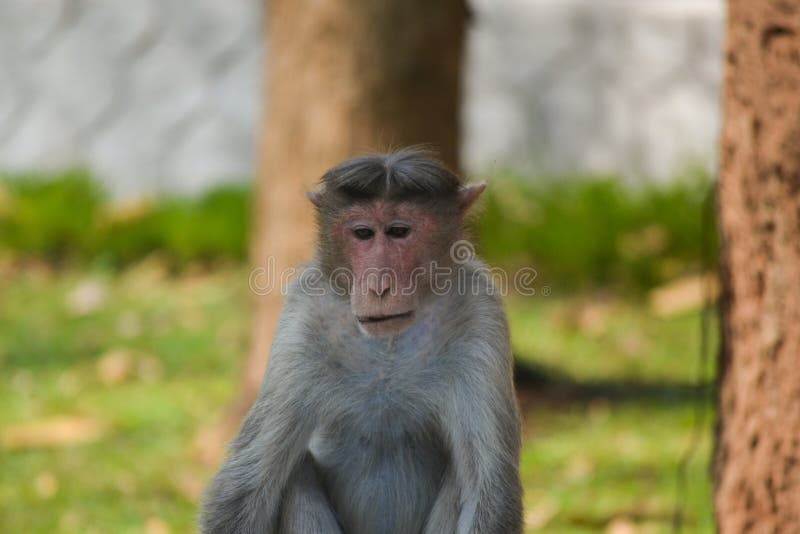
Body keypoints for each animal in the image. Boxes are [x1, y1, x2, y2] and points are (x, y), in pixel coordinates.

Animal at [200, 148, 523, 534]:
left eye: (399, 232)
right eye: (363, 233)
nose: (379, 286)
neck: (388, 343)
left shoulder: (481, 312)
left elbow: (487, 486)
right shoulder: (304, 315)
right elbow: (249, 480)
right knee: (294, 471)